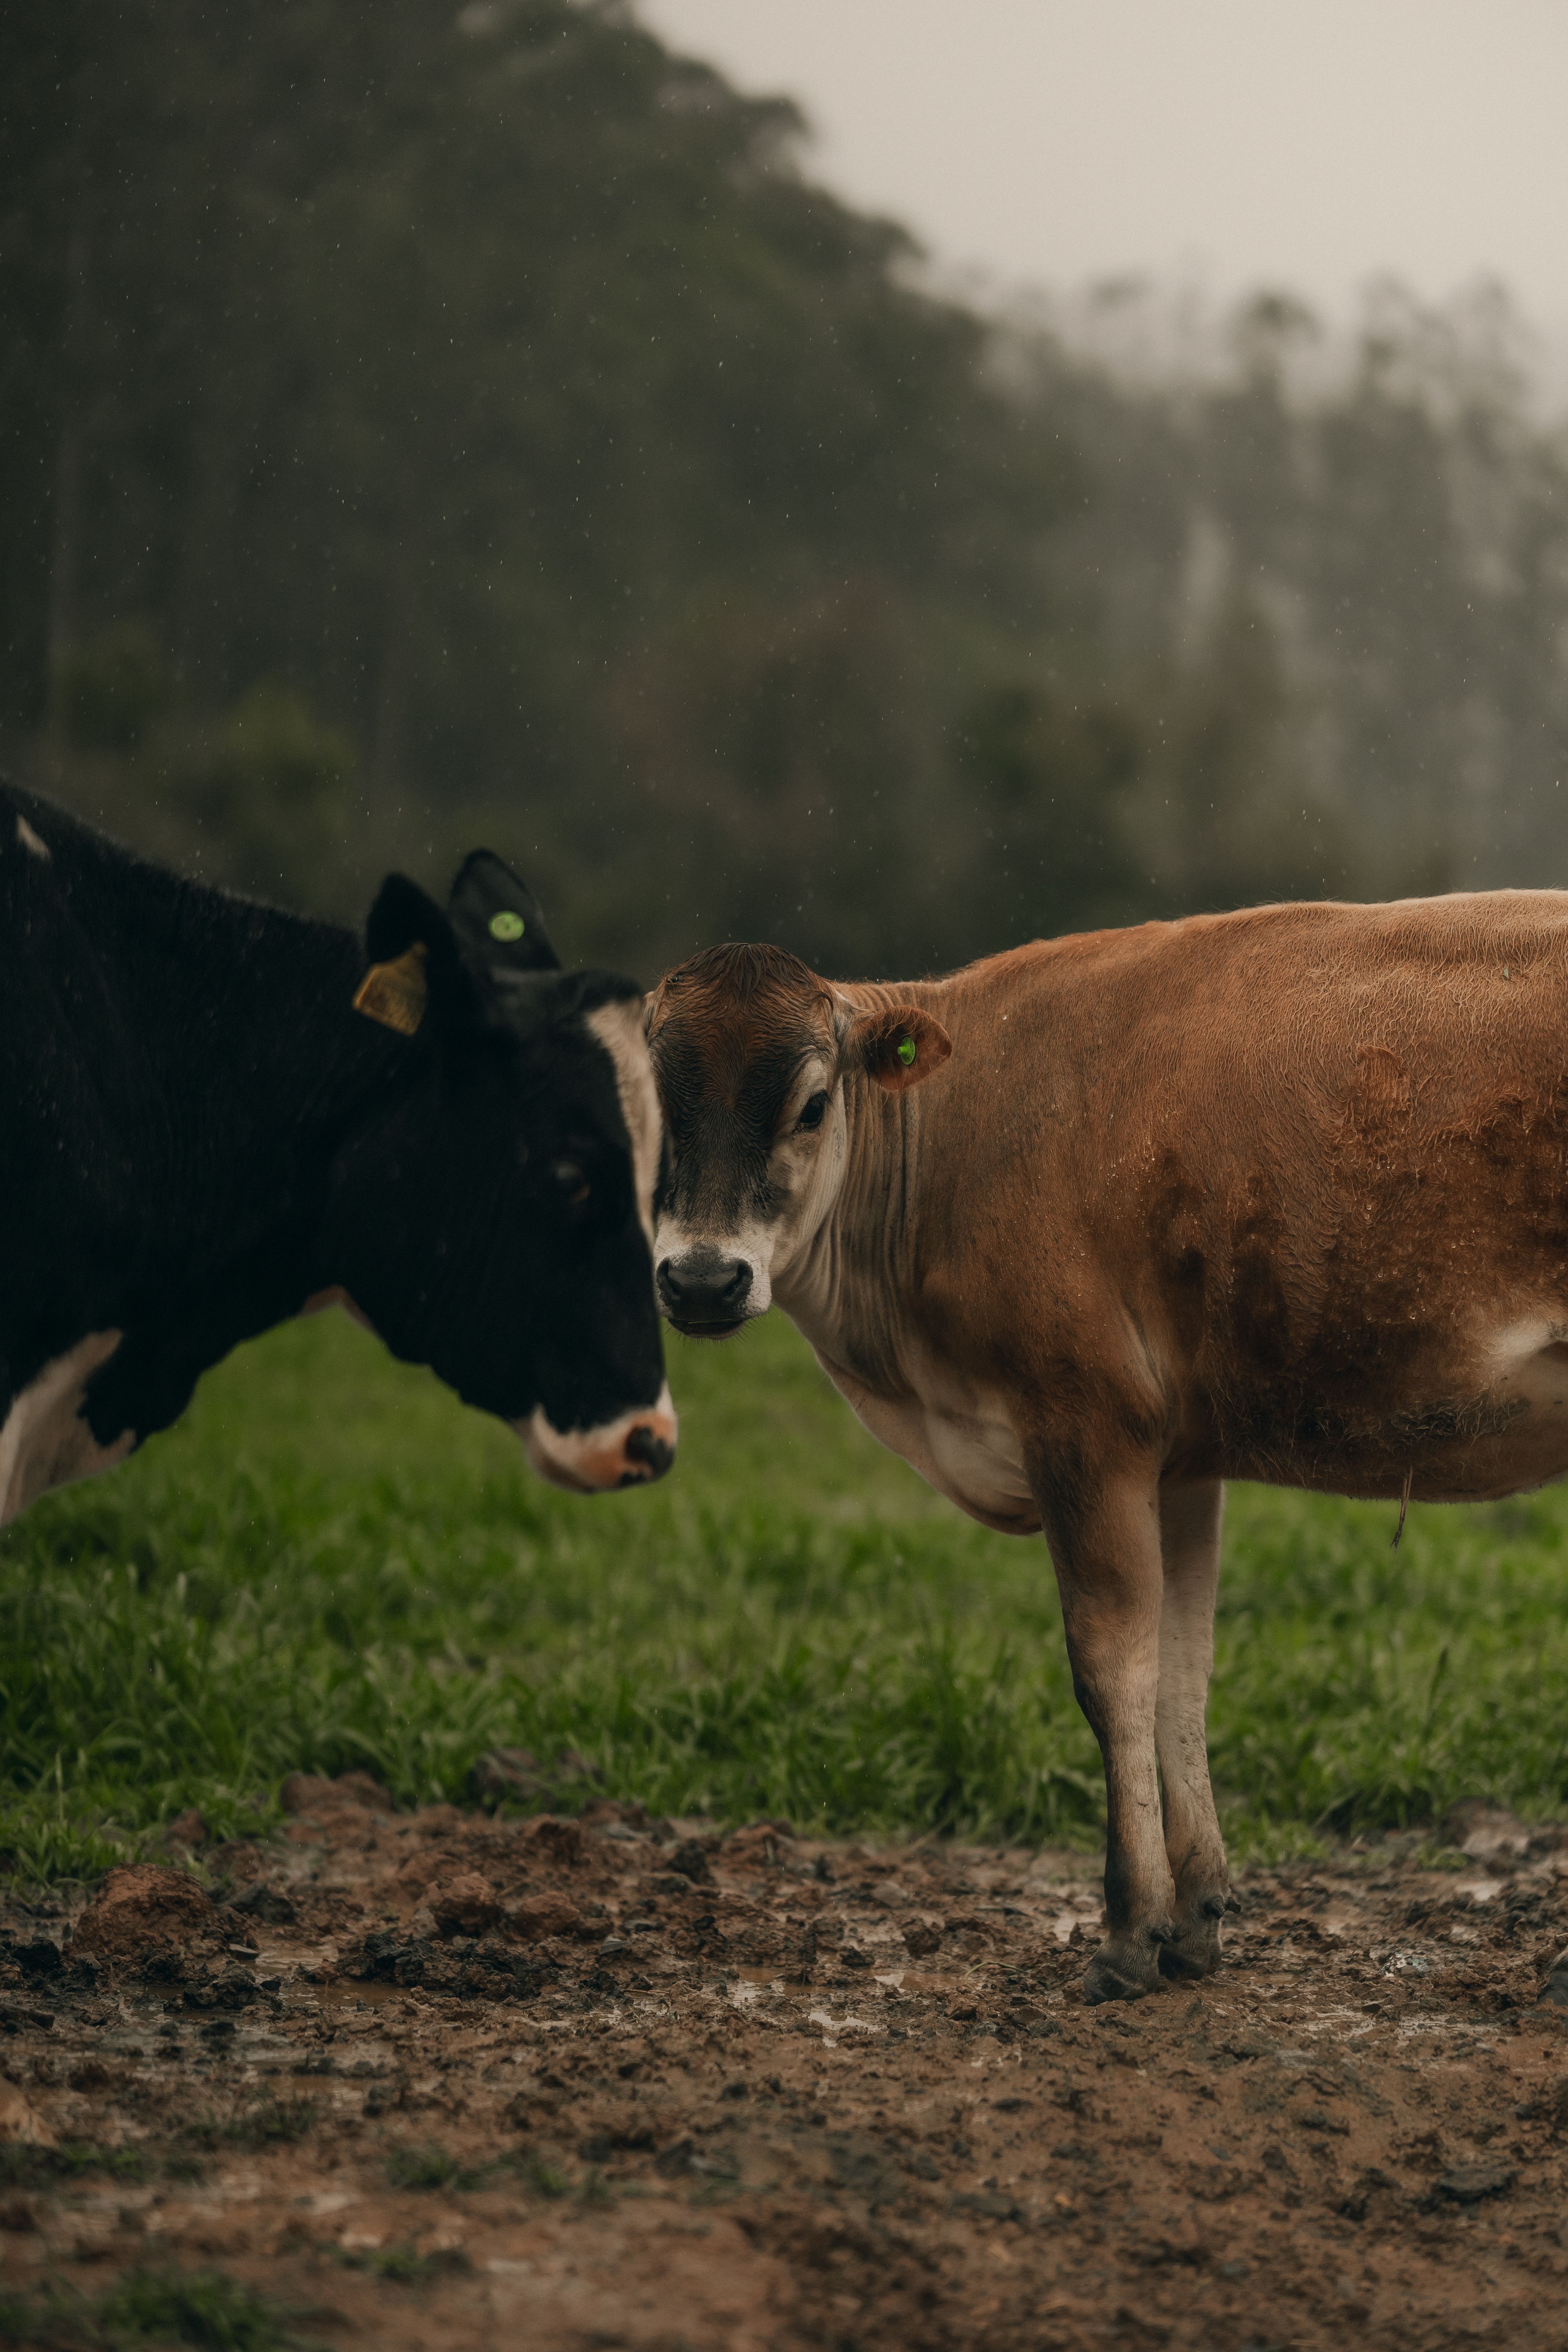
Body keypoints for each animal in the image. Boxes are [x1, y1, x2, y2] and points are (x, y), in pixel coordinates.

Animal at [648, 900, 1568, 2002]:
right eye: (658, 1100)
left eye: (812, 1105)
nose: (702, 1280)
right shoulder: (1180, 1457)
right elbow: (1183, 1665)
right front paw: (1197, 1918)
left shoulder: (1083, 1424)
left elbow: (1111, 1667)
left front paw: (1129, 1933)